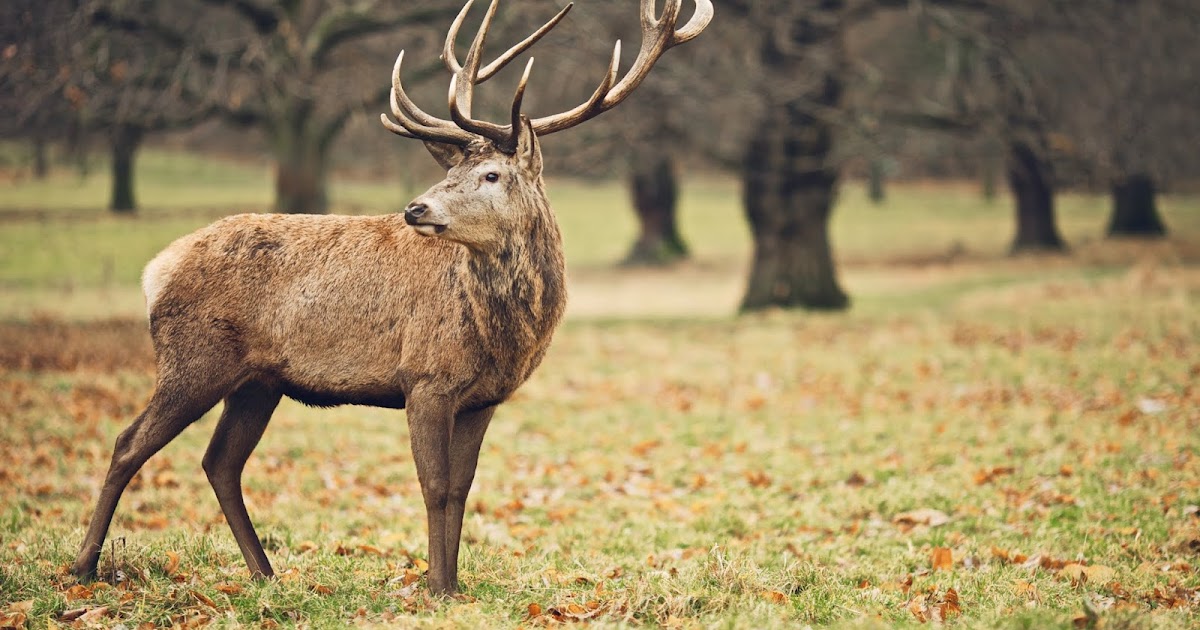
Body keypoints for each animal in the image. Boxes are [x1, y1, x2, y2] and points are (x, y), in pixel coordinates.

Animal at [70, 0, 712, 596]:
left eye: (491, 176)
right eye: (454, 171)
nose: (416, 208)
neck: (501, 336)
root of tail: (156, 269)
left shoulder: (483, 398)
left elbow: (462, 488)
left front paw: (454, 585)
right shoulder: (424, 377)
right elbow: (434, 486)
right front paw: (435, 587)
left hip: (258, 382)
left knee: (220, 461)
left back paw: (266, 574)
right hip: (194, 357)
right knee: (129, 443)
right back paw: (83, 569)